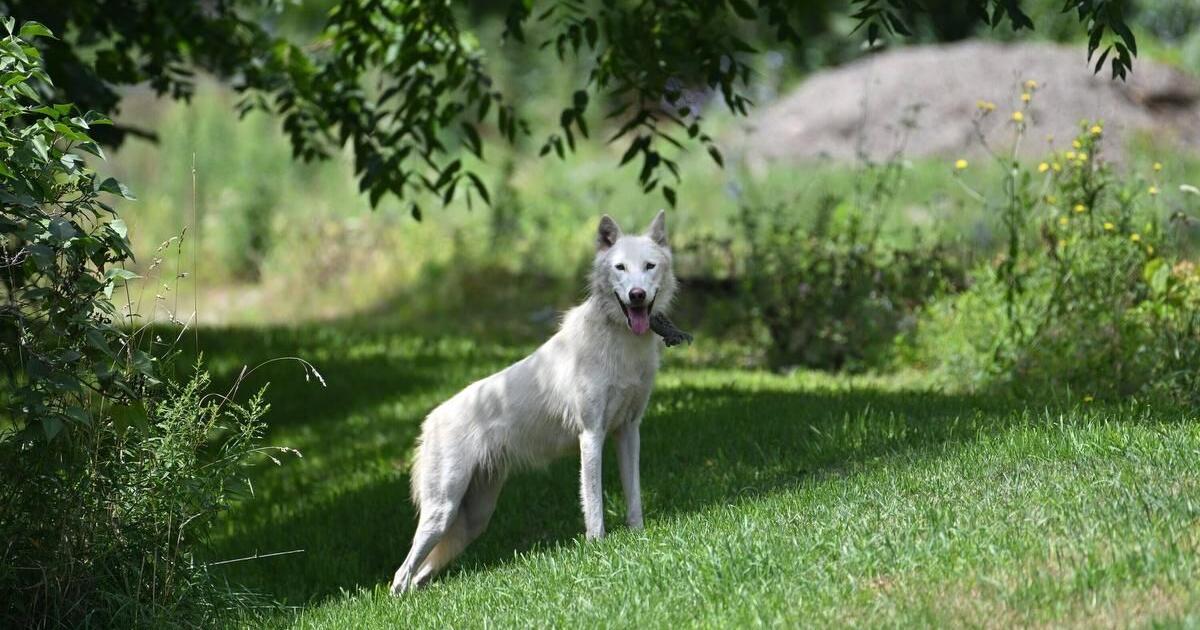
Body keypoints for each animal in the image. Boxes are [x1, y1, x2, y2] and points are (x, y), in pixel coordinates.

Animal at [390, 211, 677, 595]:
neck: (621, 344)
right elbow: (594, 504)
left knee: (419, 575)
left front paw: (639, 535)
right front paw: (598, 548)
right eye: (620, 267)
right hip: (442, 513)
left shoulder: (629, 431)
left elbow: (634, 496)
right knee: (399, 575)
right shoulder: (591, 436)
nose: (637, 295)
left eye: (649, 266)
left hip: (471, 520)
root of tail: (429, 420)